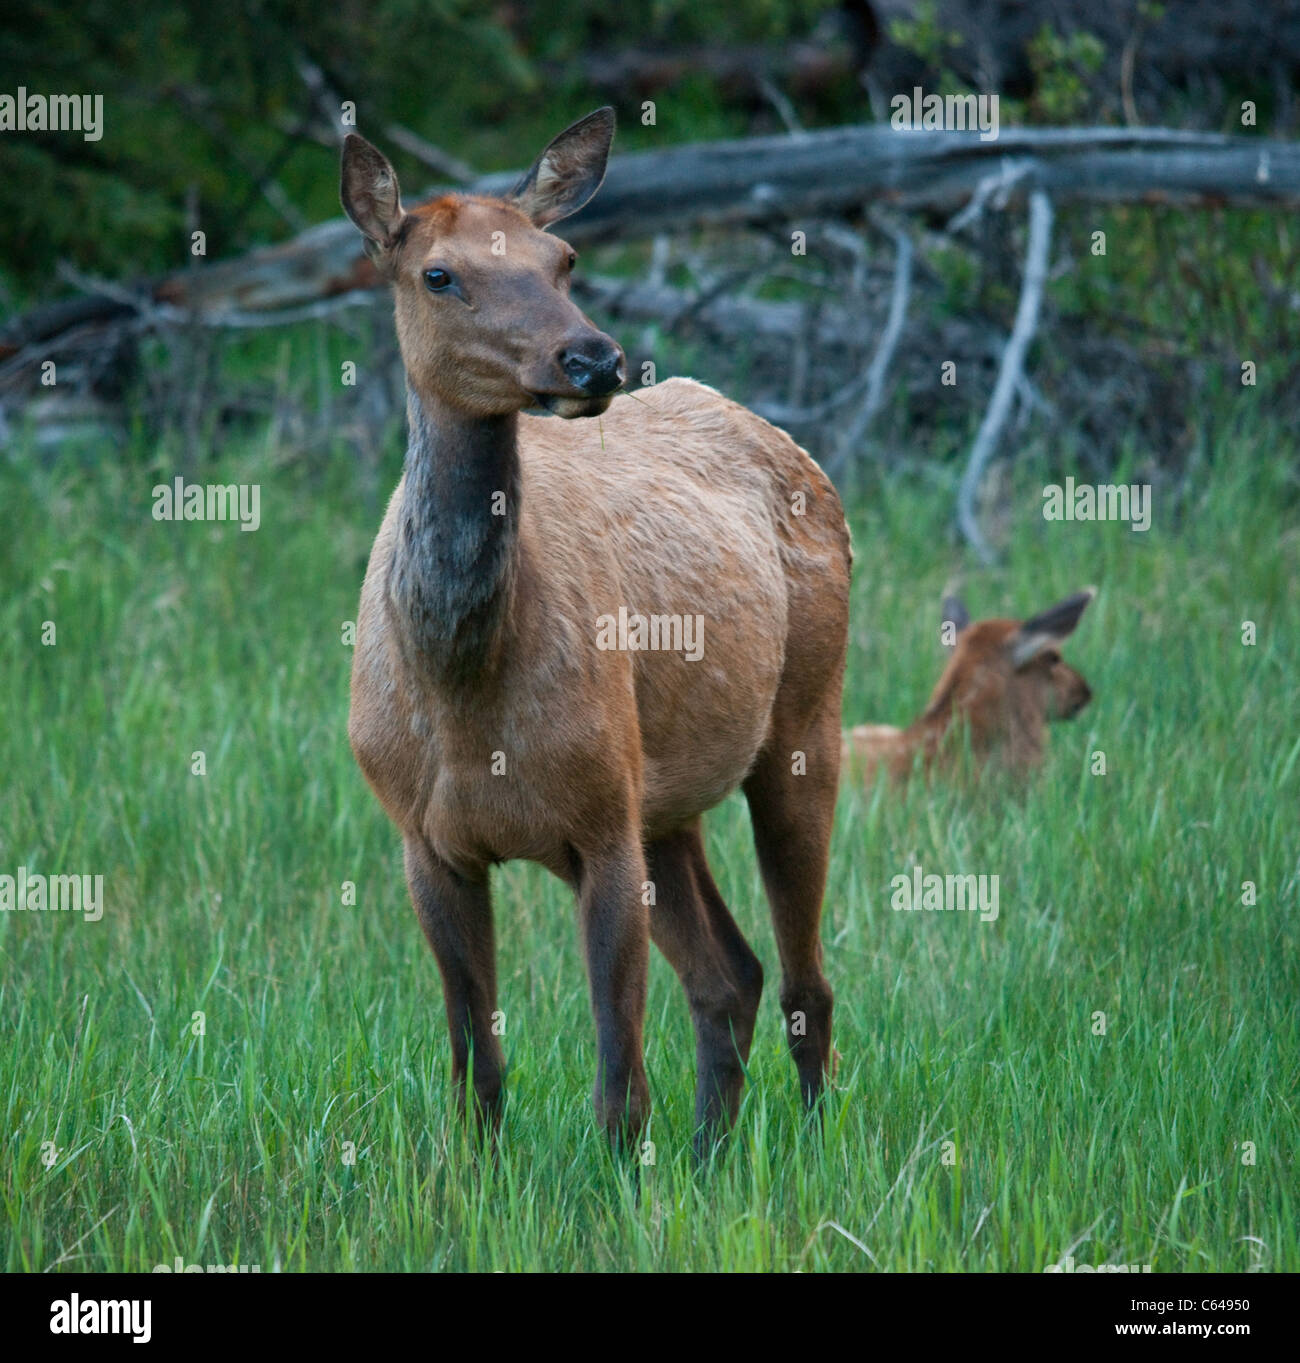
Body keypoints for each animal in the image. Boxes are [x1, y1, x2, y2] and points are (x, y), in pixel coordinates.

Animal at [340, 109, 851, 1156]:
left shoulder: (602, 819)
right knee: (732, 973)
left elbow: (620, 1076)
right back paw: (710, 1155)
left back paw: (811, 1150)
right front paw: (478, 1176)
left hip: (804, 720)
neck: (465, 689)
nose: (594, 359)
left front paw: (624, 1179)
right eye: (437, 274)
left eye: (563, 257)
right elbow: (477, 1069)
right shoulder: (424, 839)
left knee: (804, 982)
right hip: (668, 798)